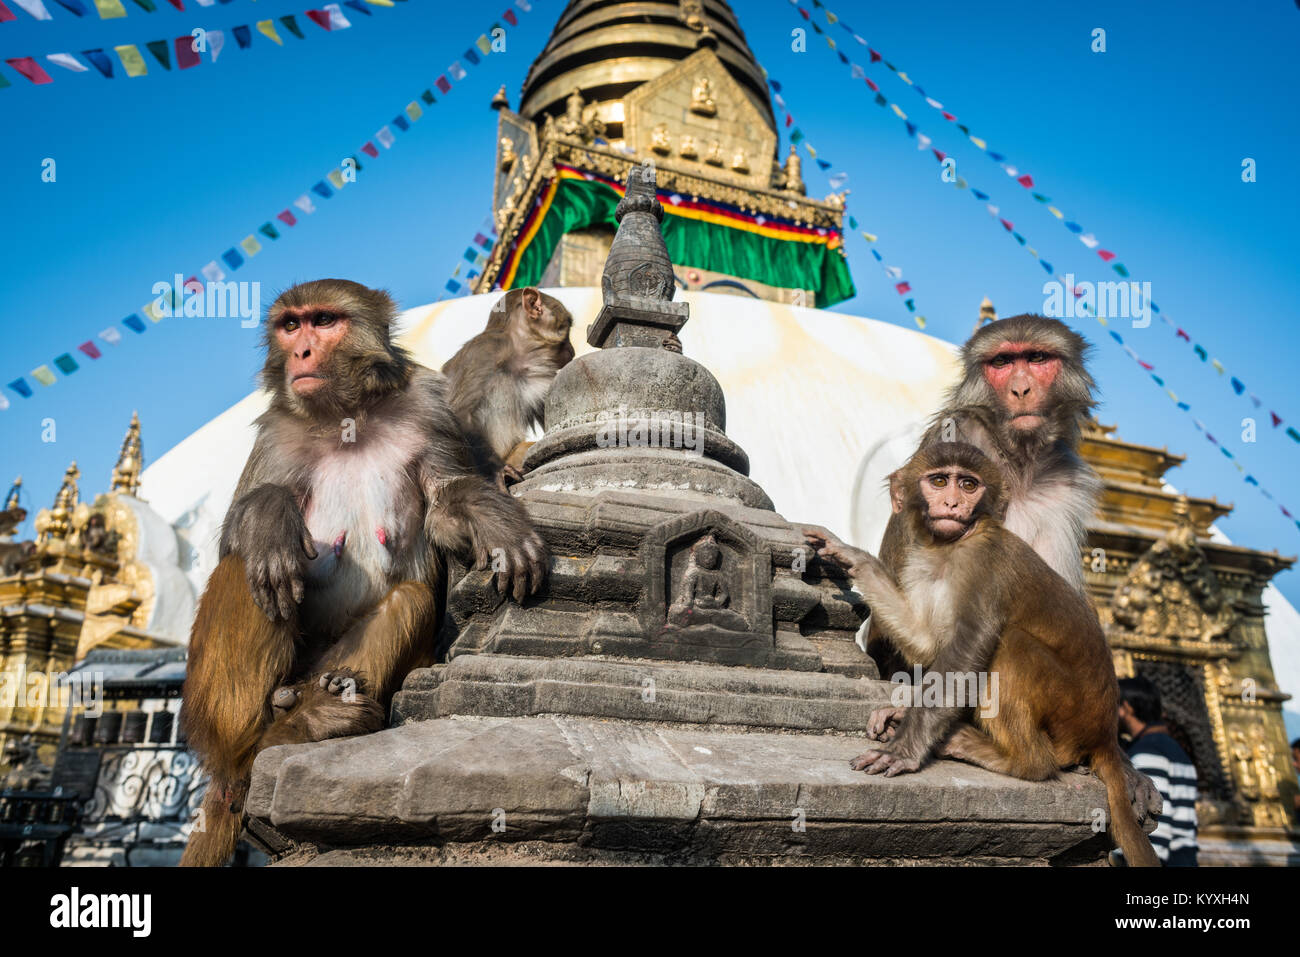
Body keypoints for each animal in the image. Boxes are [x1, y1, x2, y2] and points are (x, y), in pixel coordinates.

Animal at [180, 279, 548, 866]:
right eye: (291, 326)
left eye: (325, 321)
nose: (303, 353)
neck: (346, 417)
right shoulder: (276, 433)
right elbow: (234, 536)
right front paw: (269, 516)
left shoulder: (429, 409)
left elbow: (445, 507)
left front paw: (488, 516)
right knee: (250, 570)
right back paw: (259, 748)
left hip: (319, 671)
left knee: (409, 599)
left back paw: (313, 717)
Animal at [443, 287, 575, 490]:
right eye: (568, 326)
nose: (572, 350)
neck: (514, 358)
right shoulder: (483, 351)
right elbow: (458, 414)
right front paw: (497, 470)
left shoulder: (540, 377)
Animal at [805, 442, 1161, 867]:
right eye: (939, 480)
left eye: (968, 484)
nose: (953, 502)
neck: (949, 547)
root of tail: (1106, 733)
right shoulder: (920, 563)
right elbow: (928, 641)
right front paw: (852, 557)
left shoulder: (984, 562)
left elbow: (967, 648)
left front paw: (904, 750)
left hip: (1071, 712)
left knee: (1011, 646)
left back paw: (1020, 759)